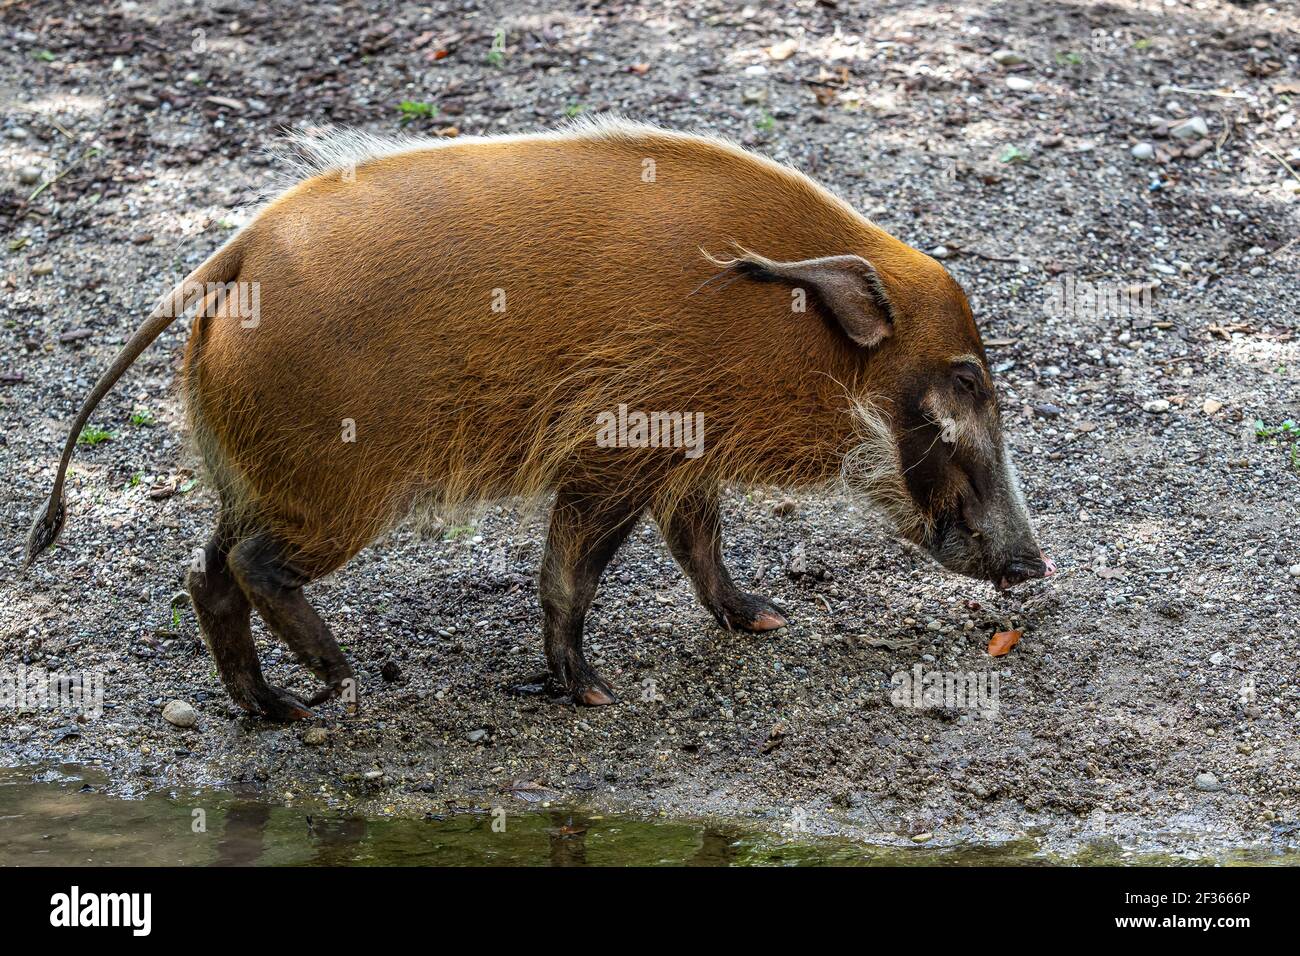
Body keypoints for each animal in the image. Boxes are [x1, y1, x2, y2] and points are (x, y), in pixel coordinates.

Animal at [25, 118, 1053, 719]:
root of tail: (227, 260)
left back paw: (271, 706)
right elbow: (572, 577)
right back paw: (342, 679)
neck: (786, 327)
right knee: (247, 565)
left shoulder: (681, 459)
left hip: (260, 477)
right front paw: (591, 695)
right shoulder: (618, 452)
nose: (1033, 567)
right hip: (336, 492)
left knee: (203, 573)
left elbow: (700, 547)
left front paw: (763, 619)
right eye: (965, 378)